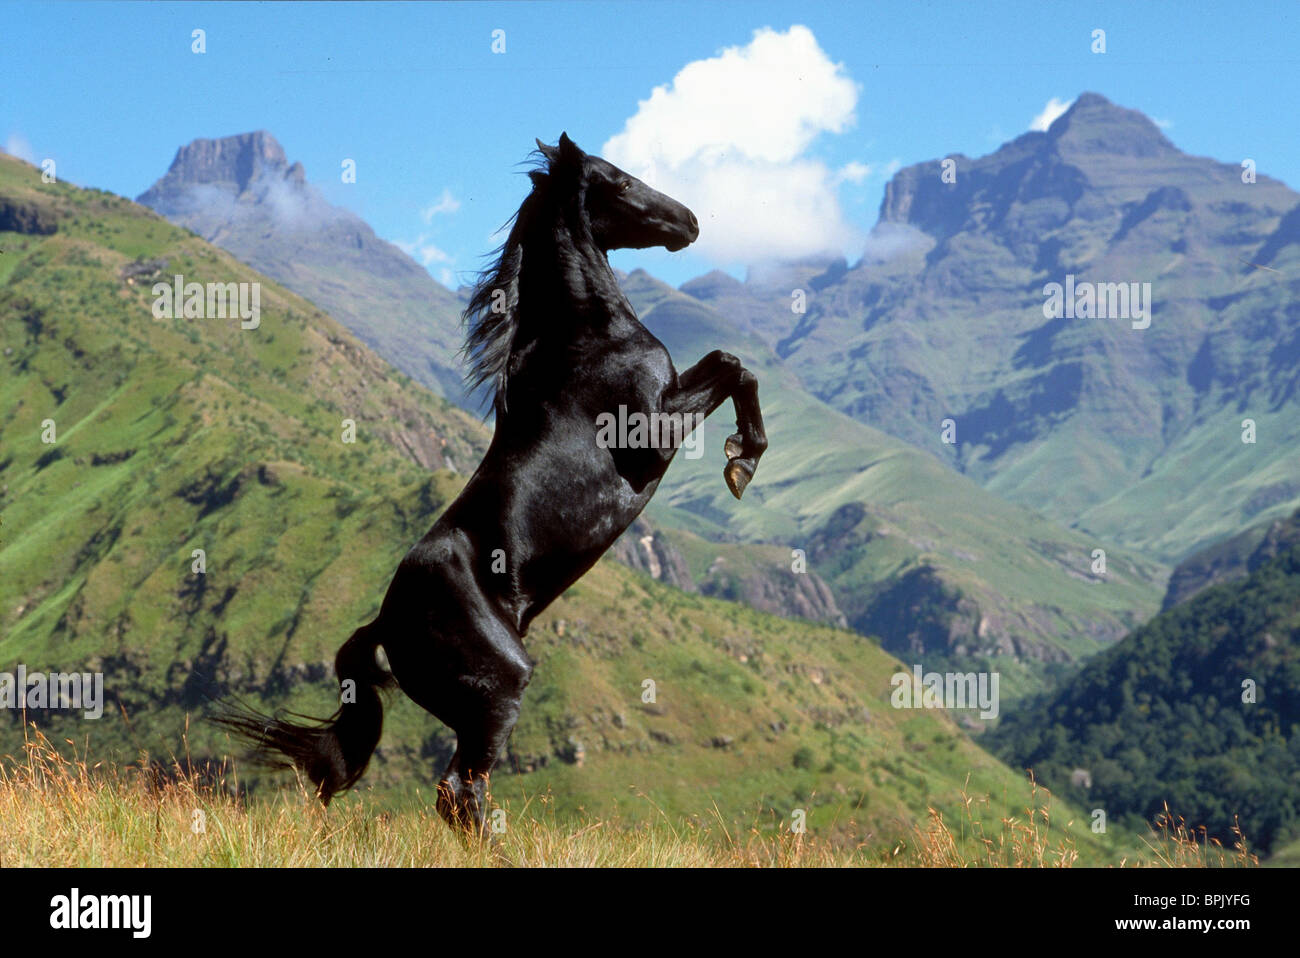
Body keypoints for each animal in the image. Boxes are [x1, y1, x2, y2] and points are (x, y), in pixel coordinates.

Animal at [214, 132, 767, 833]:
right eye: (617, 179)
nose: (690, 220)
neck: (585, 342)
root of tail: (384, 626)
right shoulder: (651, 437)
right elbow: (733, 365)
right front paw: (741, 462)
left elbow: (731, 364)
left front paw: (741, 458)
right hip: (499, 689)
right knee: (460, 791)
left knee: (459, 793)